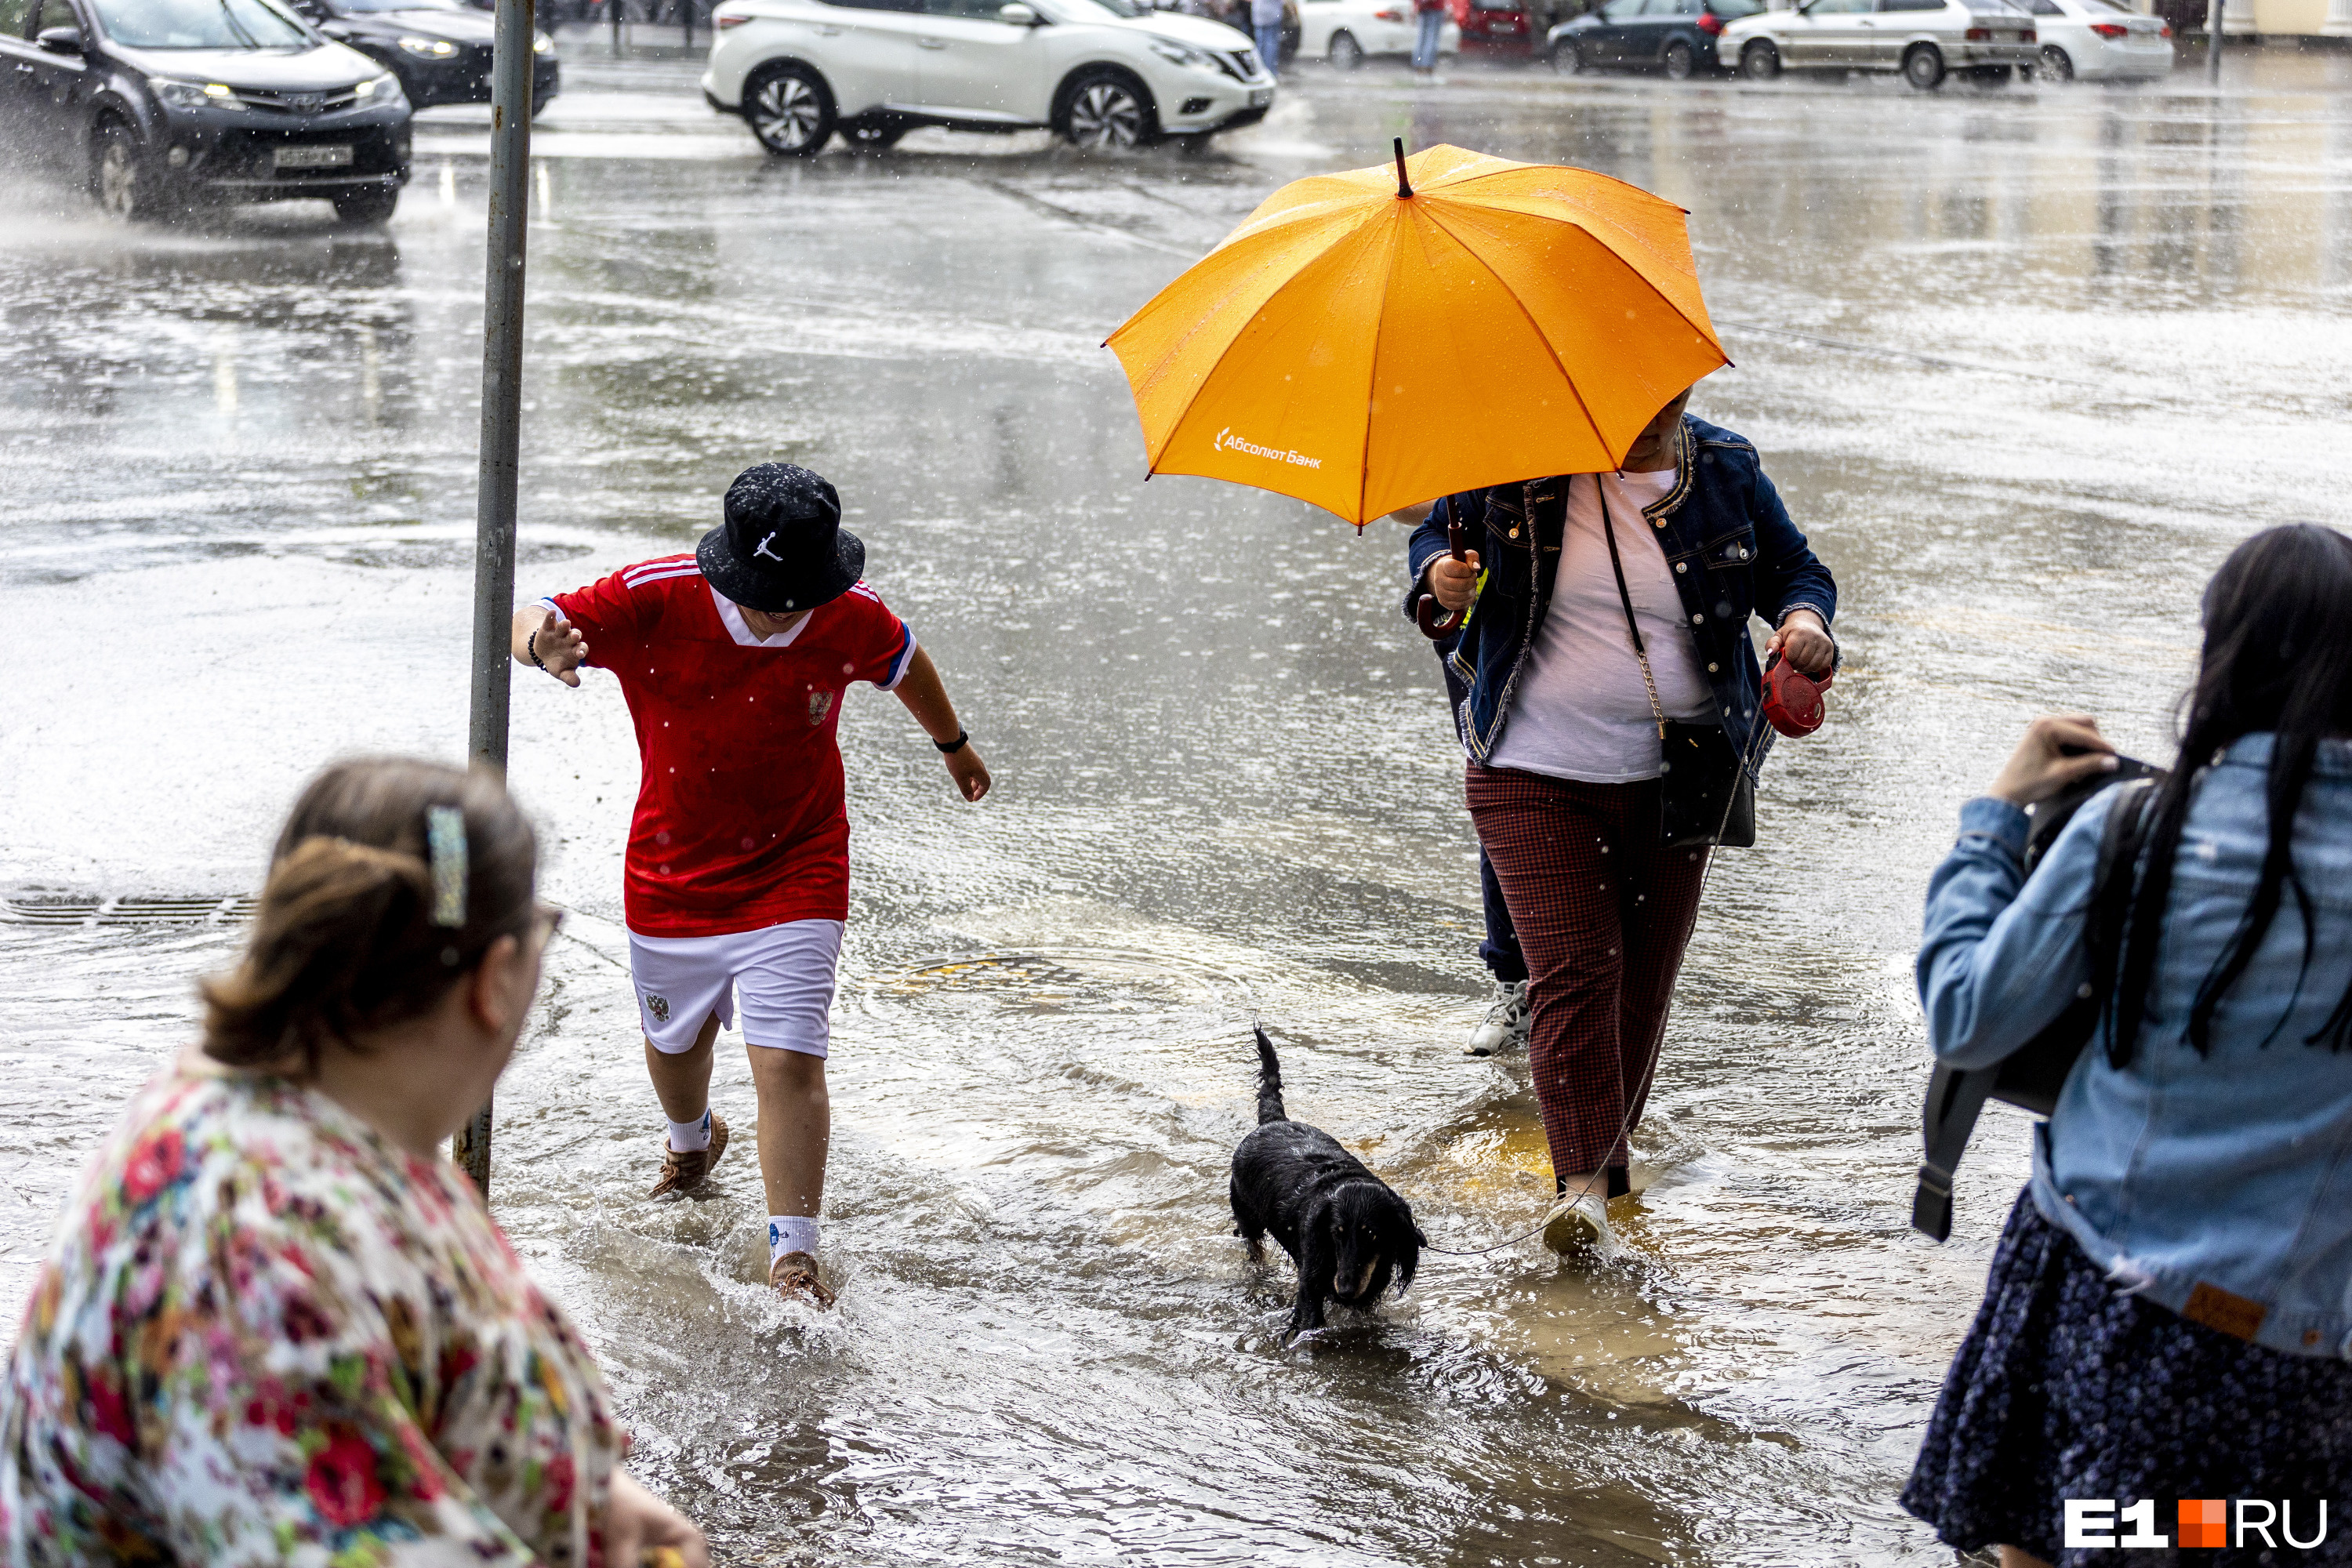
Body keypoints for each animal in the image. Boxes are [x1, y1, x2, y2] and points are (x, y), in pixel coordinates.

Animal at [1232, 1029, 1411, 1335]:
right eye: (1336, 1233)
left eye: (1372, 1234)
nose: (1346, 1291)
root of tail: (1273, 1120)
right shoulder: (1312, 1279)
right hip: (1248, 1218)